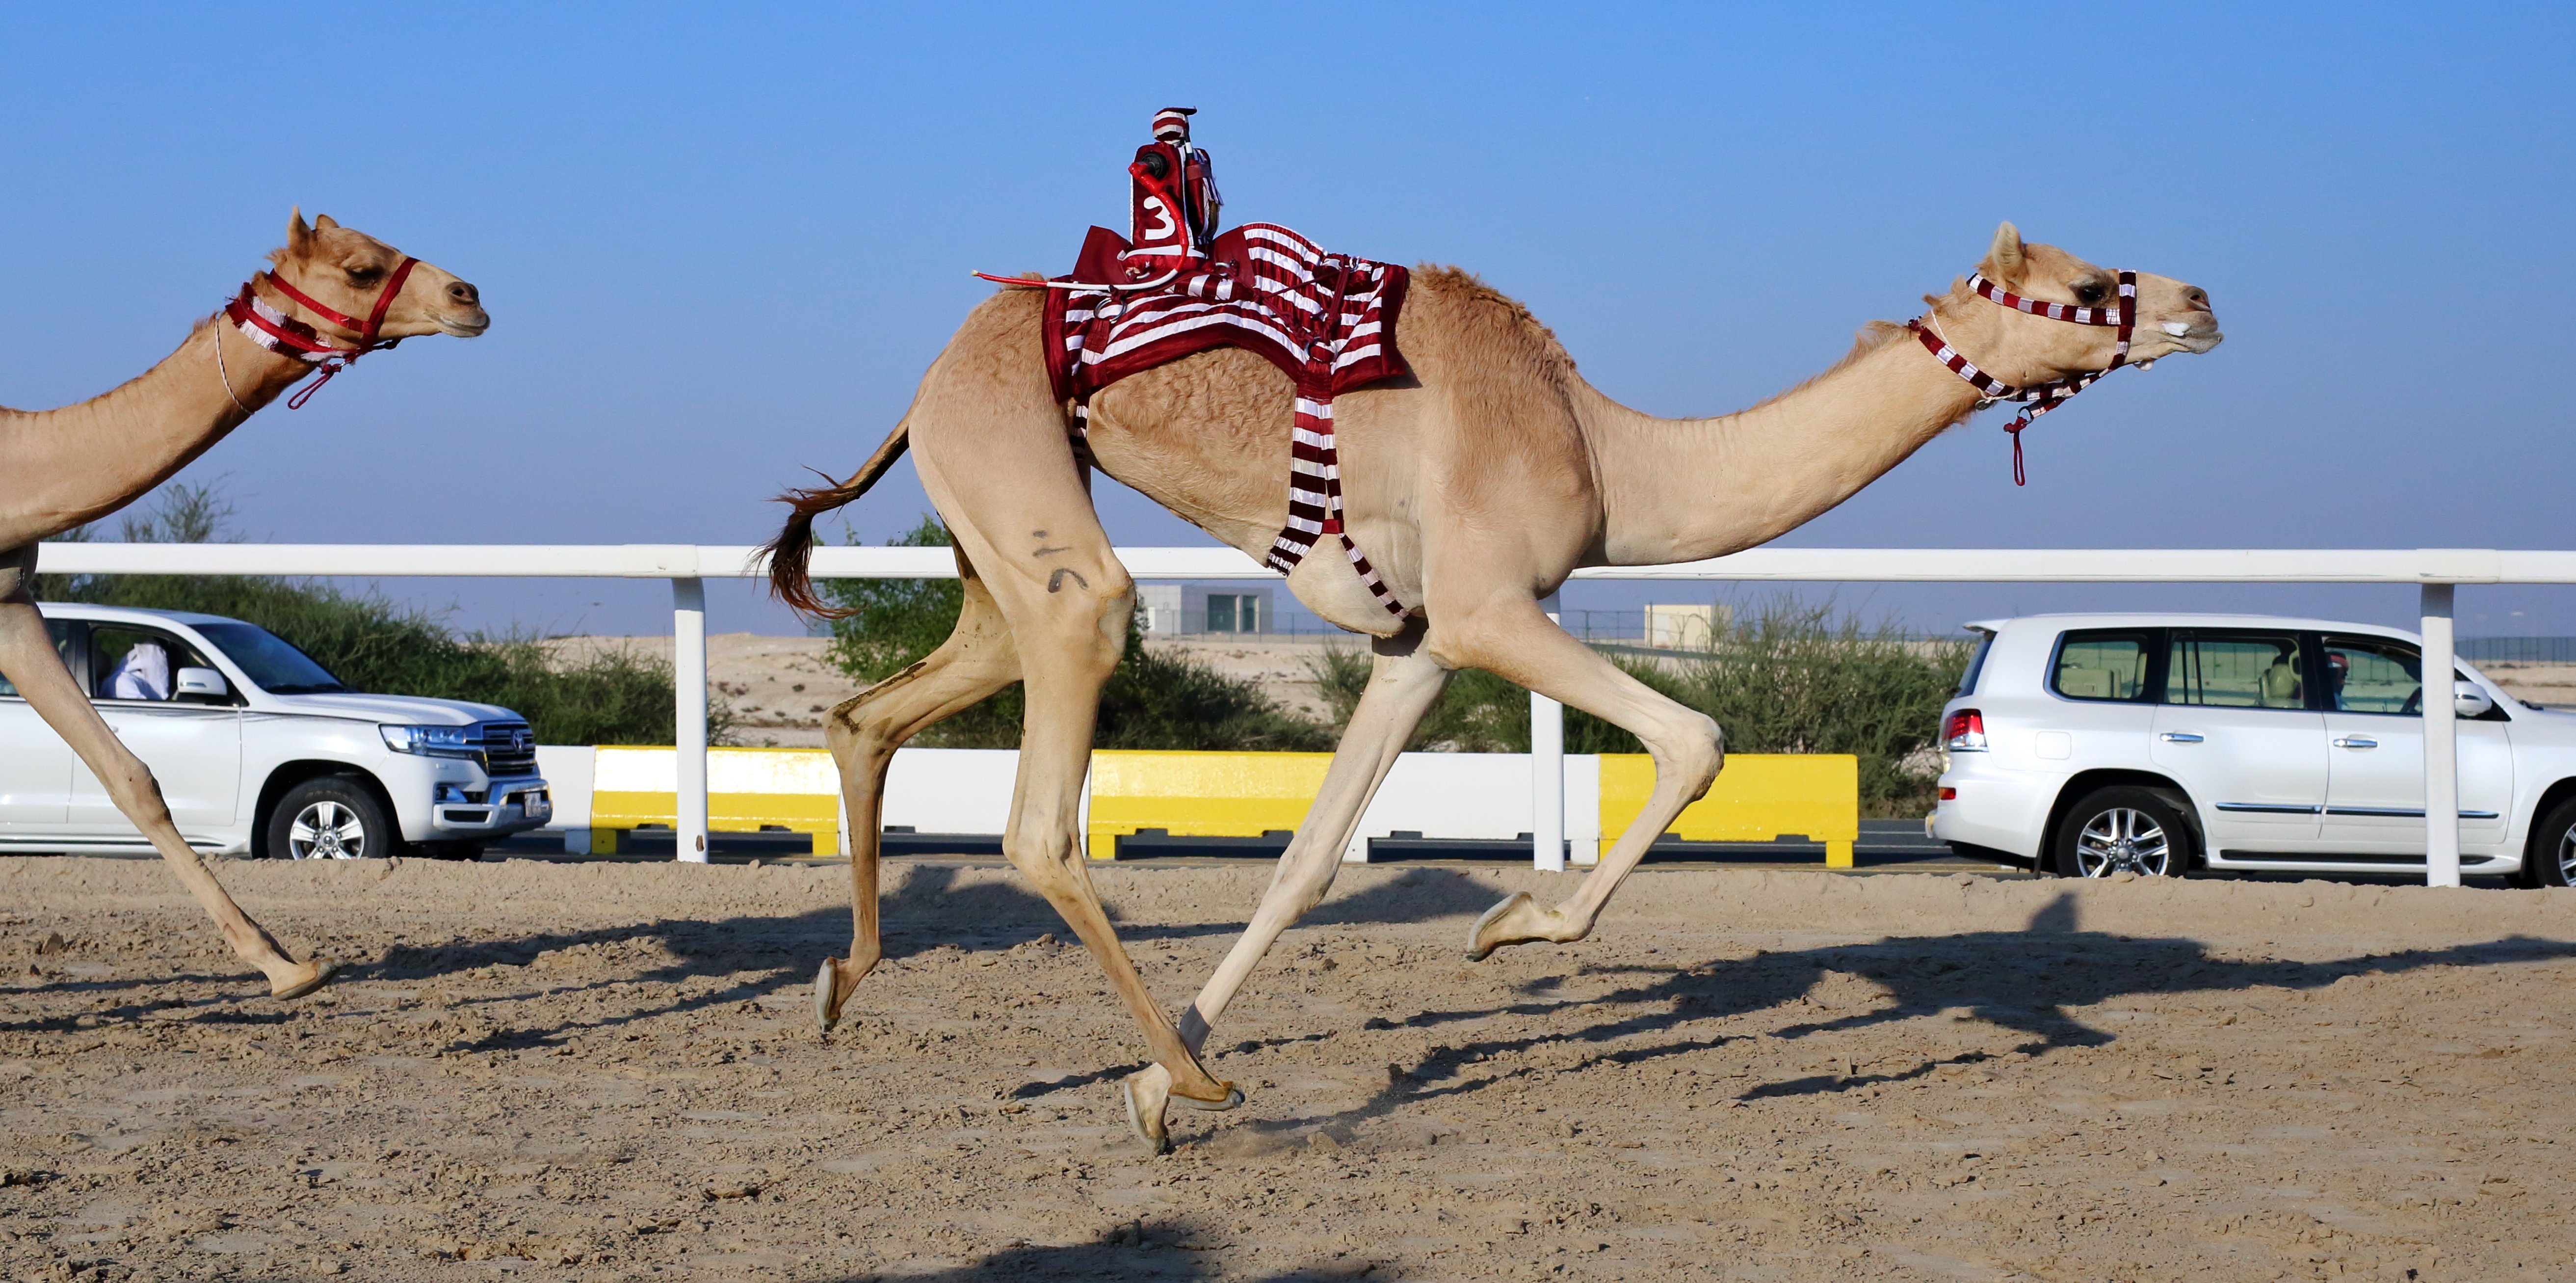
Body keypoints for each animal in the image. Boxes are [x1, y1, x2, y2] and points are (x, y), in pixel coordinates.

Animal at [765, 222, 2220, 1149]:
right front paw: (1507, 925)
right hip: (1033, 507)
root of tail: (928, 380)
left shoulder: (1417, 645)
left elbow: (1307, 860)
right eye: (2094, 277)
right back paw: (1205, 1078)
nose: (2202, 301)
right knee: (1039, 815)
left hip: (988, 549)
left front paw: (1142, 1091)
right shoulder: (1489, 605)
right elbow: (1695, 737)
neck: (1609, 453)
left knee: (867, 714)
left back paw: (847, 984)